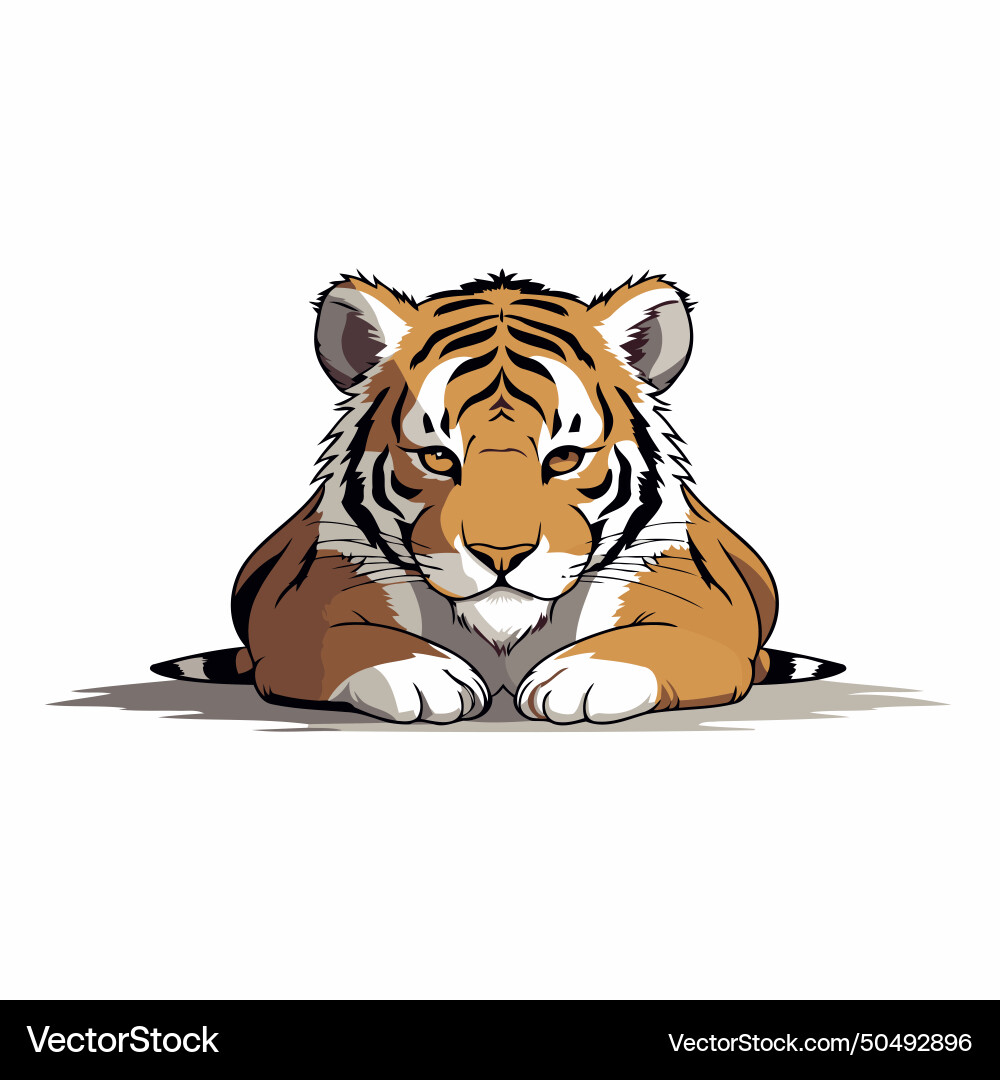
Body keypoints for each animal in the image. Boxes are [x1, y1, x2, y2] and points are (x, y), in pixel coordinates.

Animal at [152, 271, 844, 724]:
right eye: (438, 457)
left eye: (563, 458)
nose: (502, 554)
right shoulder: (296, 610)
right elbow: (345, 639)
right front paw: (419, 674)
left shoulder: (711, 614)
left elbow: (666, 640)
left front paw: (584, 675)